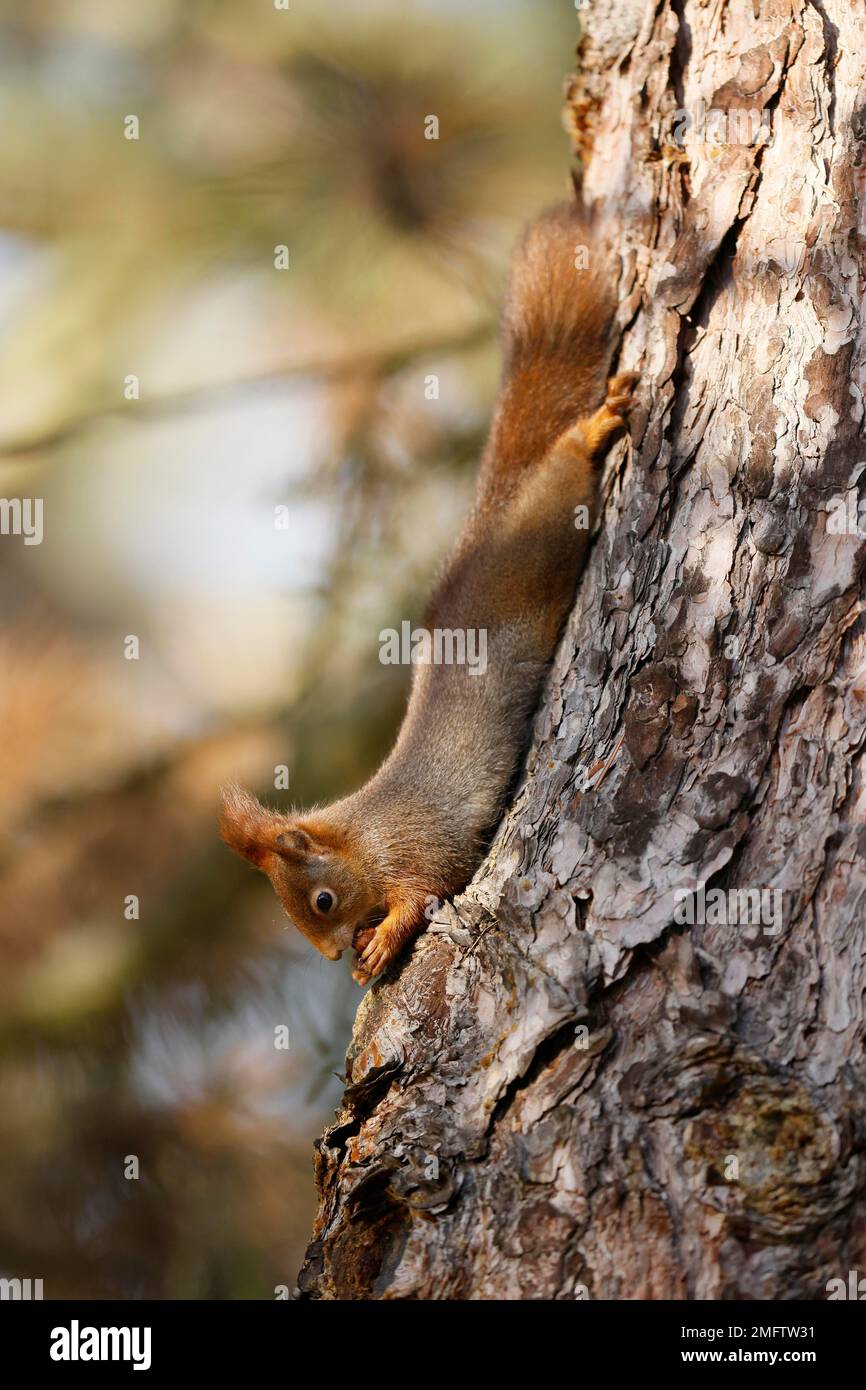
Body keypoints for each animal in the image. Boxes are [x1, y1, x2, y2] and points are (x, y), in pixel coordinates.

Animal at [220, 198, 636, 985]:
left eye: (321, 901)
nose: (331, 954)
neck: (363, 837)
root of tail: (485, 532)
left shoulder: (418, 851)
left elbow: (422, 895)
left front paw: (382, 939)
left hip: (543, 537)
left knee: (563, 469)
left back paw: (594, 429)